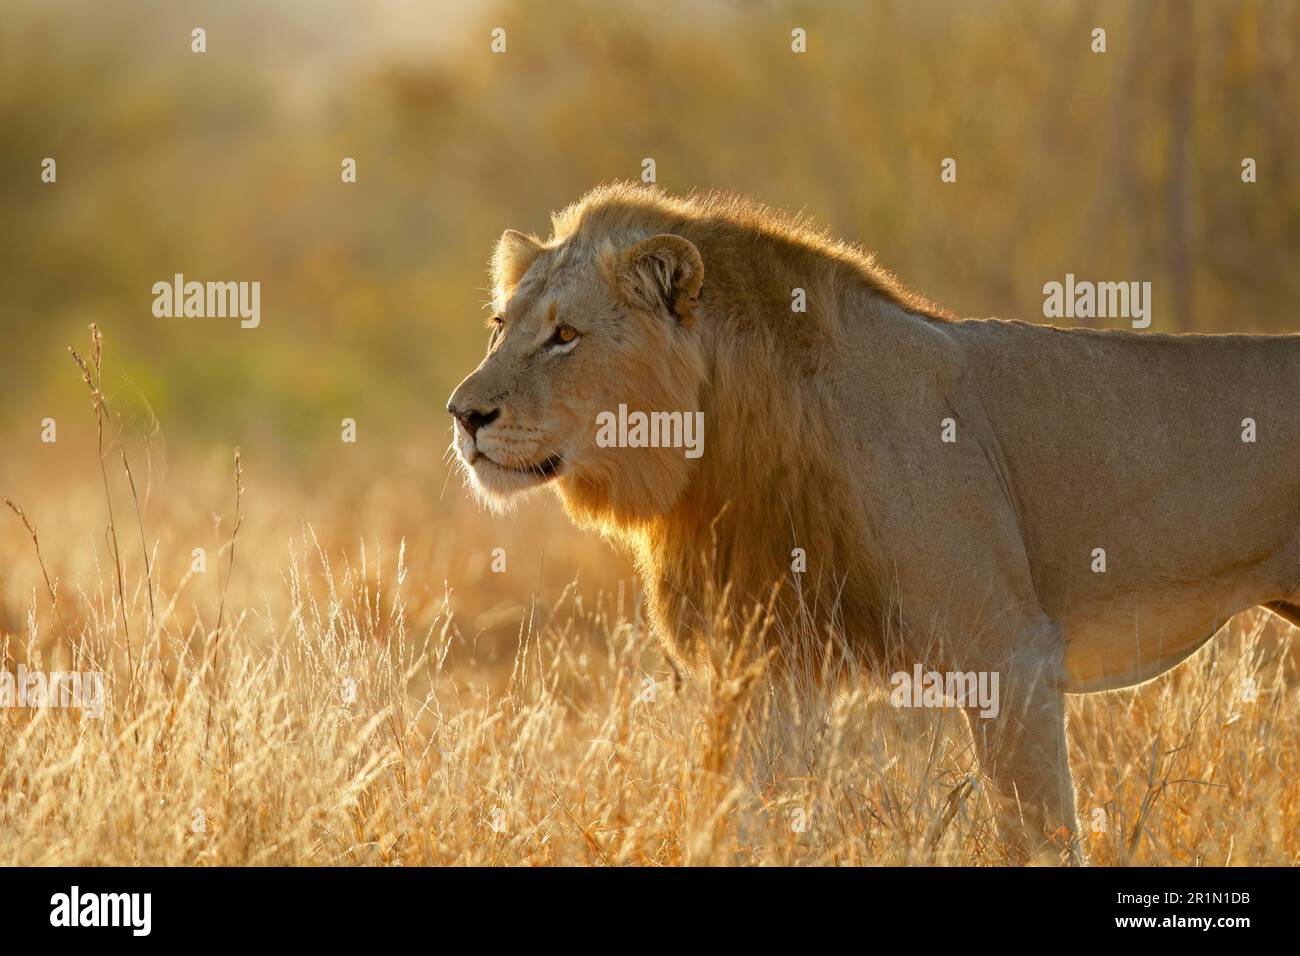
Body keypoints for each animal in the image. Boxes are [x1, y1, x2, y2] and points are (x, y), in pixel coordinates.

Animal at [447, 181, 1300, 863]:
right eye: (497, 326)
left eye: (564, 335)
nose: (463, 415)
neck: (722, 443)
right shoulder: (769, 667)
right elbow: (741, 818)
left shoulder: (1011, 655)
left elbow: (1039, 835)